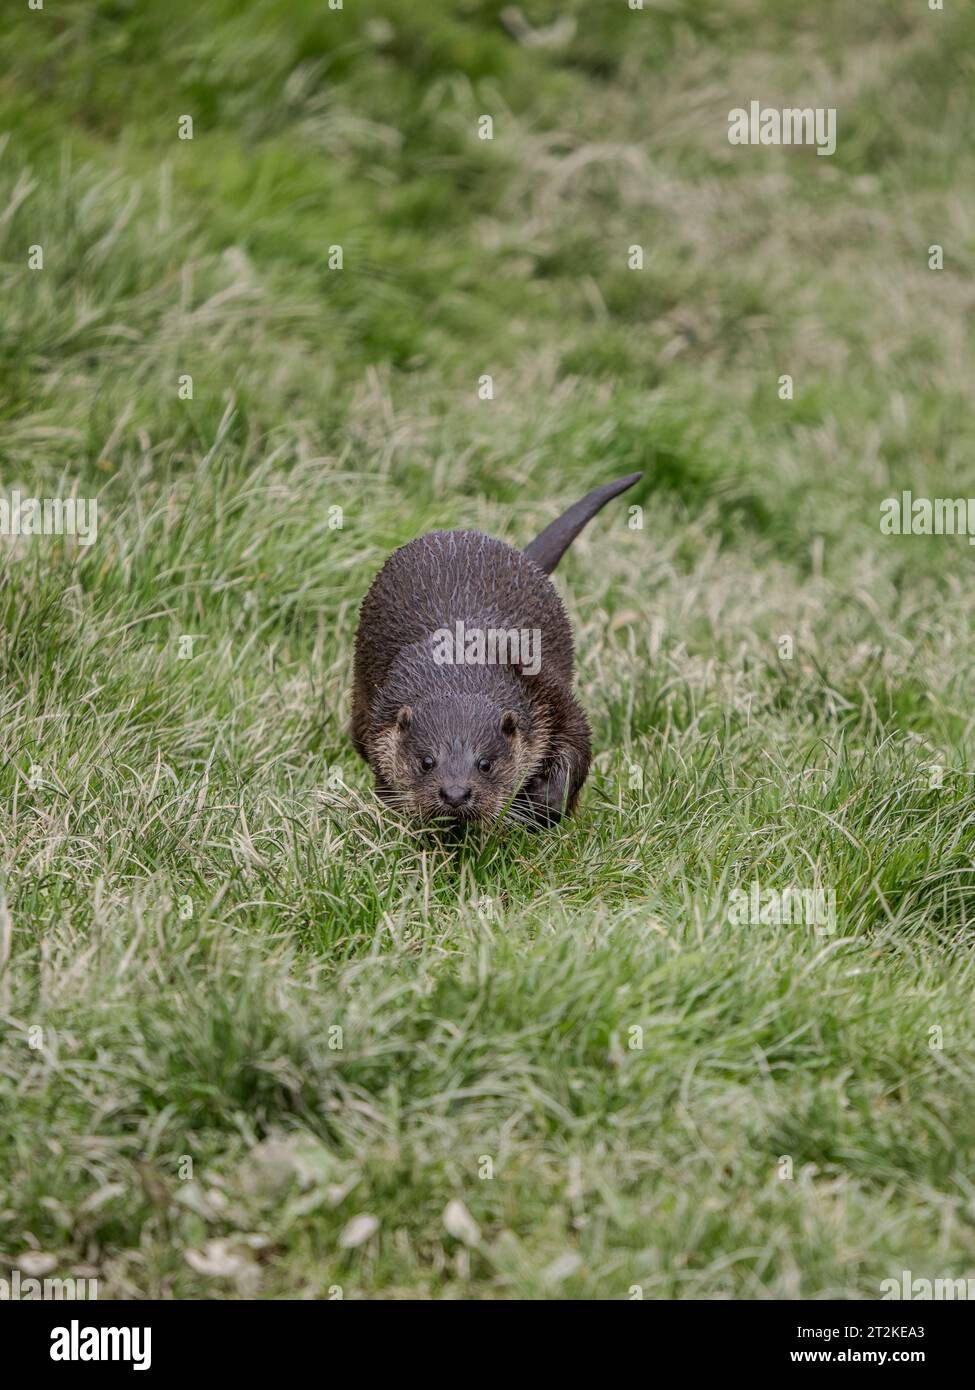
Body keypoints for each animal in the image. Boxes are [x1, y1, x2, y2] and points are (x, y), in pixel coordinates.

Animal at [351, 472, 642, 828]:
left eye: (485, 763)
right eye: (427, 761)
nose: (455, 793)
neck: (459, 663)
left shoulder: (549, 693)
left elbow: (577, 748)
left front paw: (543, 803)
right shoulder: (382, 714)